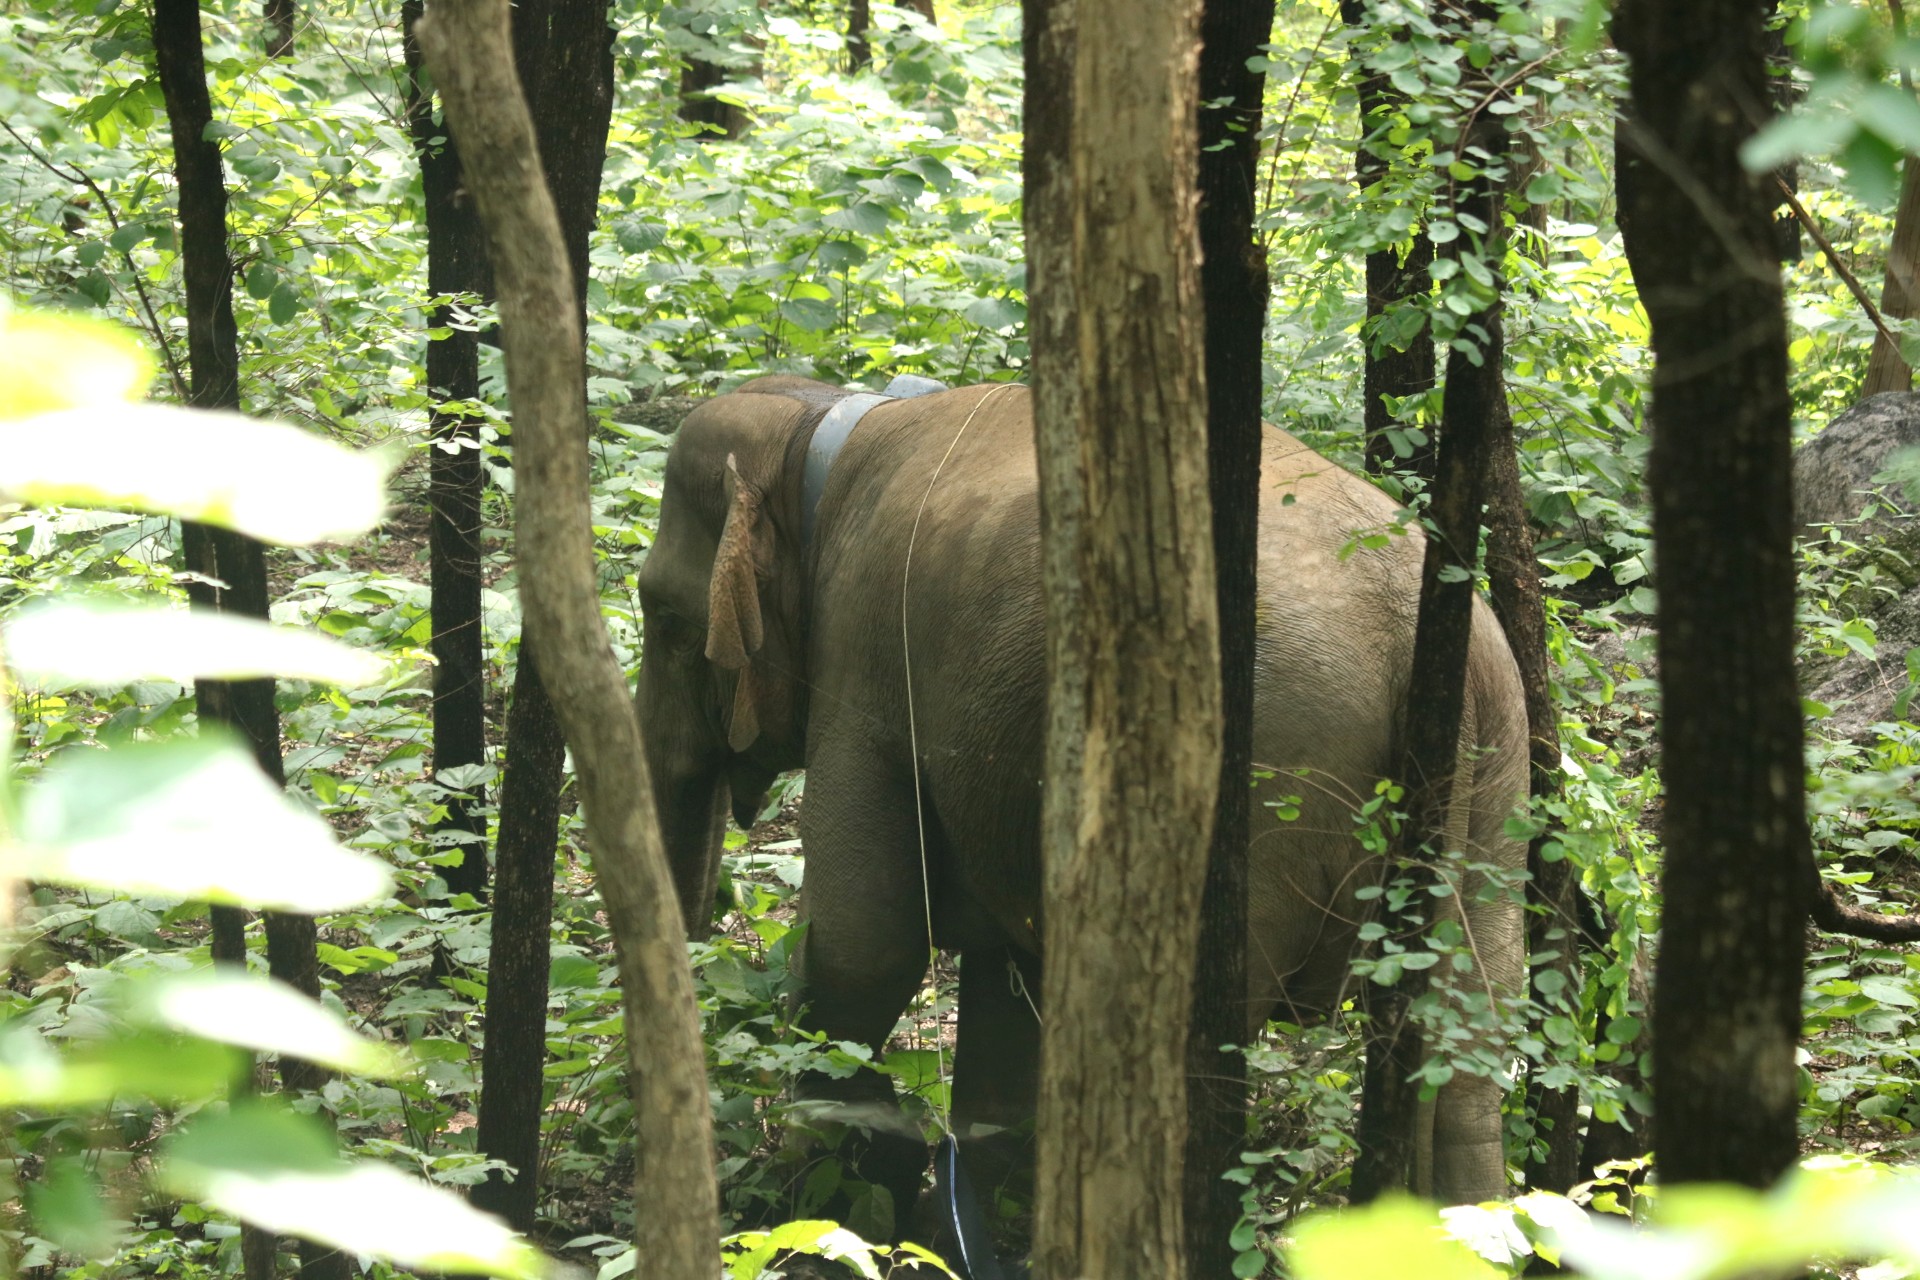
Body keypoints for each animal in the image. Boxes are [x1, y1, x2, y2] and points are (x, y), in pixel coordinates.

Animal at [633, 375, 1529, 1218]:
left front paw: (821, 1196)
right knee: (1471, 1049)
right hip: (1497, 791)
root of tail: (1420, 636)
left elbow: (865, 953)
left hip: (1271, 791)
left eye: (664, 617)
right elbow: (1010, 995)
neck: (825, 422)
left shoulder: (865, 674)